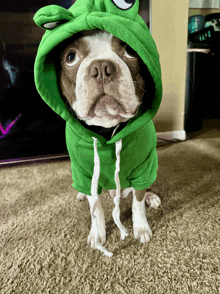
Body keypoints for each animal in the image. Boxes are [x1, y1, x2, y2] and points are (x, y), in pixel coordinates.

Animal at [58, 28, 162, 256]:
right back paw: (81, 194)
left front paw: (141, 227)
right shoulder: (86, 174)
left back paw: (151, 197)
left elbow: (137, 202)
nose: (101, 68)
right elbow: (96, 209)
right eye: (71, 57)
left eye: (131, 50)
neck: (108, 131)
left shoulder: (144, 167)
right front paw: (98, 234)